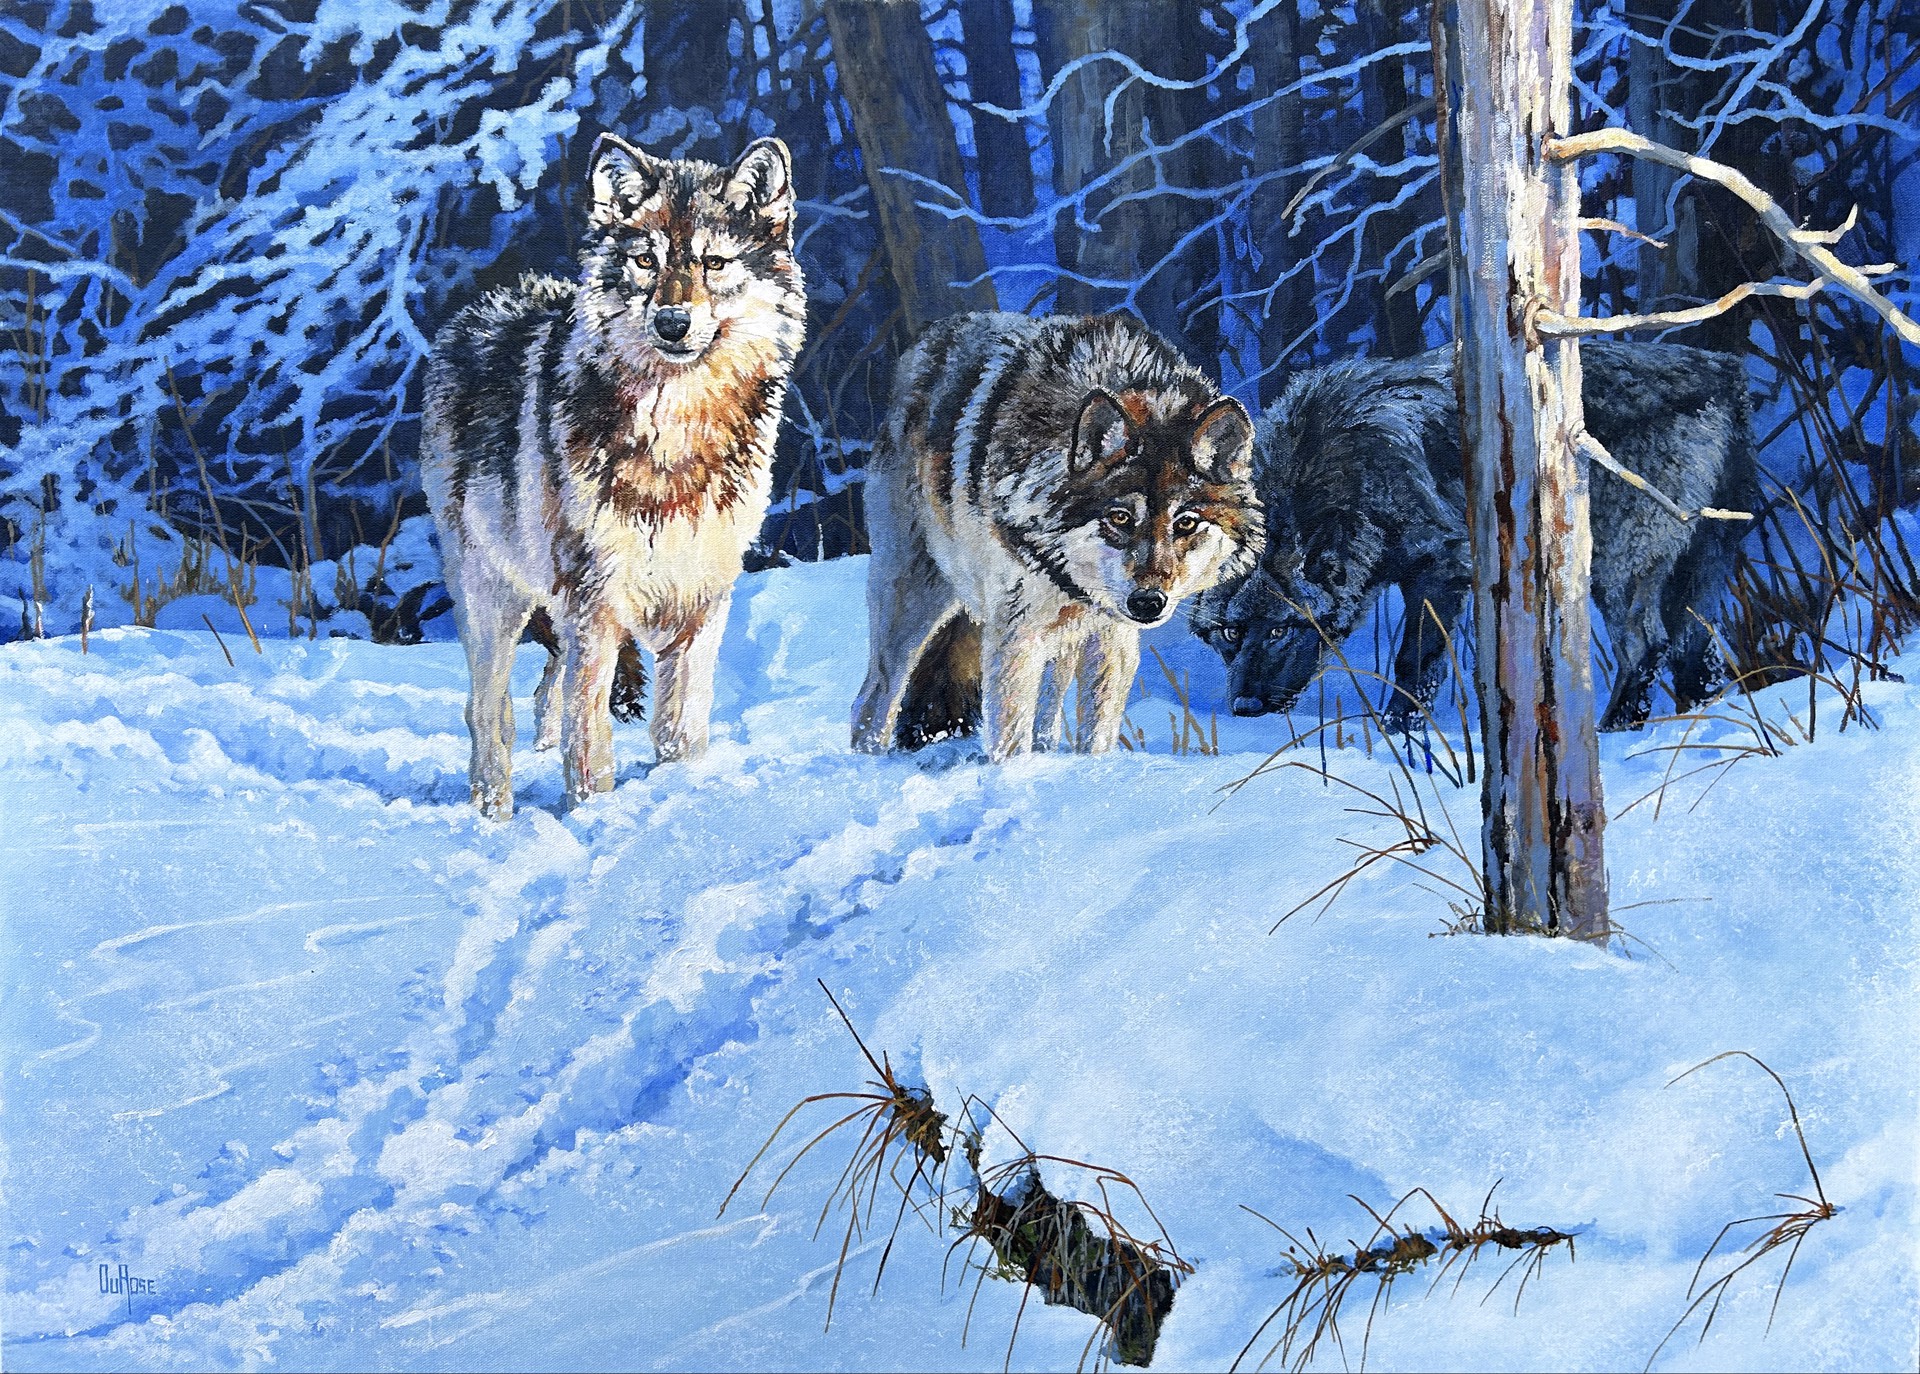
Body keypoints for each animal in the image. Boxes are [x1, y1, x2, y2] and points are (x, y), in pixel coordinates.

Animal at [421, 133, 805, 817]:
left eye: (712, 263)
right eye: (646, 262)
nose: (673, 322)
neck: (677, 435)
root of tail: (487, 300)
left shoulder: (703, 601)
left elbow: (681, 727)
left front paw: (679, 794)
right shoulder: (595, 603)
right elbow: (590, 731)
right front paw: (594, 811)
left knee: (539, 694)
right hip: (493, 597)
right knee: (488, 710)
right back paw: (493, 811)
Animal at [852, 312, 1264, 760]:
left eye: (1186, 523)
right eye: (1120, 517)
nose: (1148, 603)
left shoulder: (1111, 635)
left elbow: (1095, 733)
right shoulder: (1016, 634)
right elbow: (1010, 739)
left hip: (1059, 640)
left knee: (1049, 707)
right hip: (911, 604)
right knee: (872, 698)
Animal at [1191, 342, 1757, 731]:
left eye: (1279, 630)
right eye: (1229, 634)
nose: (1245, 707)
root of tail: (1726, 371)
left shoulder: (1442, 567)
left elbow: (1413, 664)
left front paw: (1401, 737)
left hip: (1616, 568)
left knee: (1647, 647)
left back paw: (1613, 734)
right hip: (1692, 573)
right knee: (1695, 652)